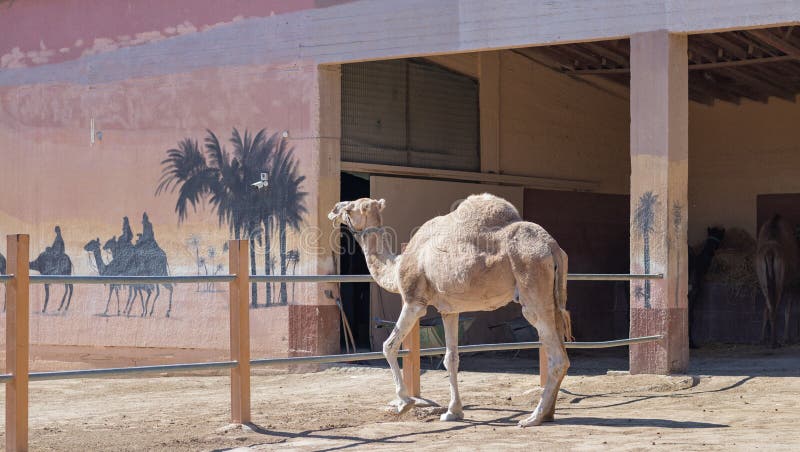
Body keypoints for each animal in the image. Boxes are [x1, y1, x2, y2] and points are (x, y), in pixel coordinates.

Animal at [329, 194, 572, 427]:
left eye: (350, 208)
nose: (334, 209)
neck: (397, 267)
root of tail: (552, 247)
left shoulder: (414, 302)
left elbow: (389, 346)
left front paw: (405, 402)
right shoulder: (449, 310)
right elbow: (451, 357)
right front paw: (453, 411)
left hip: (533, 288)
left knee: (557, 356)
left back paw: (533, 418)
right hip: (552, 296)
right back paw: (548, 414)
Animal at [756, 215, 798, 348]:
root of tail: (770, 253)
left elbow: (766, 308)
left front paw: (762, 338)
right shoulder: (791, 285)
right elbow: (788, 311)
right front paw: (786, 338)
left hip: (764, 281)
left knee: (770, 307)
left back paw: (766, 340)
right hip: (779, 283)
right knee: (775, 308)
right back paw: (774, 342)